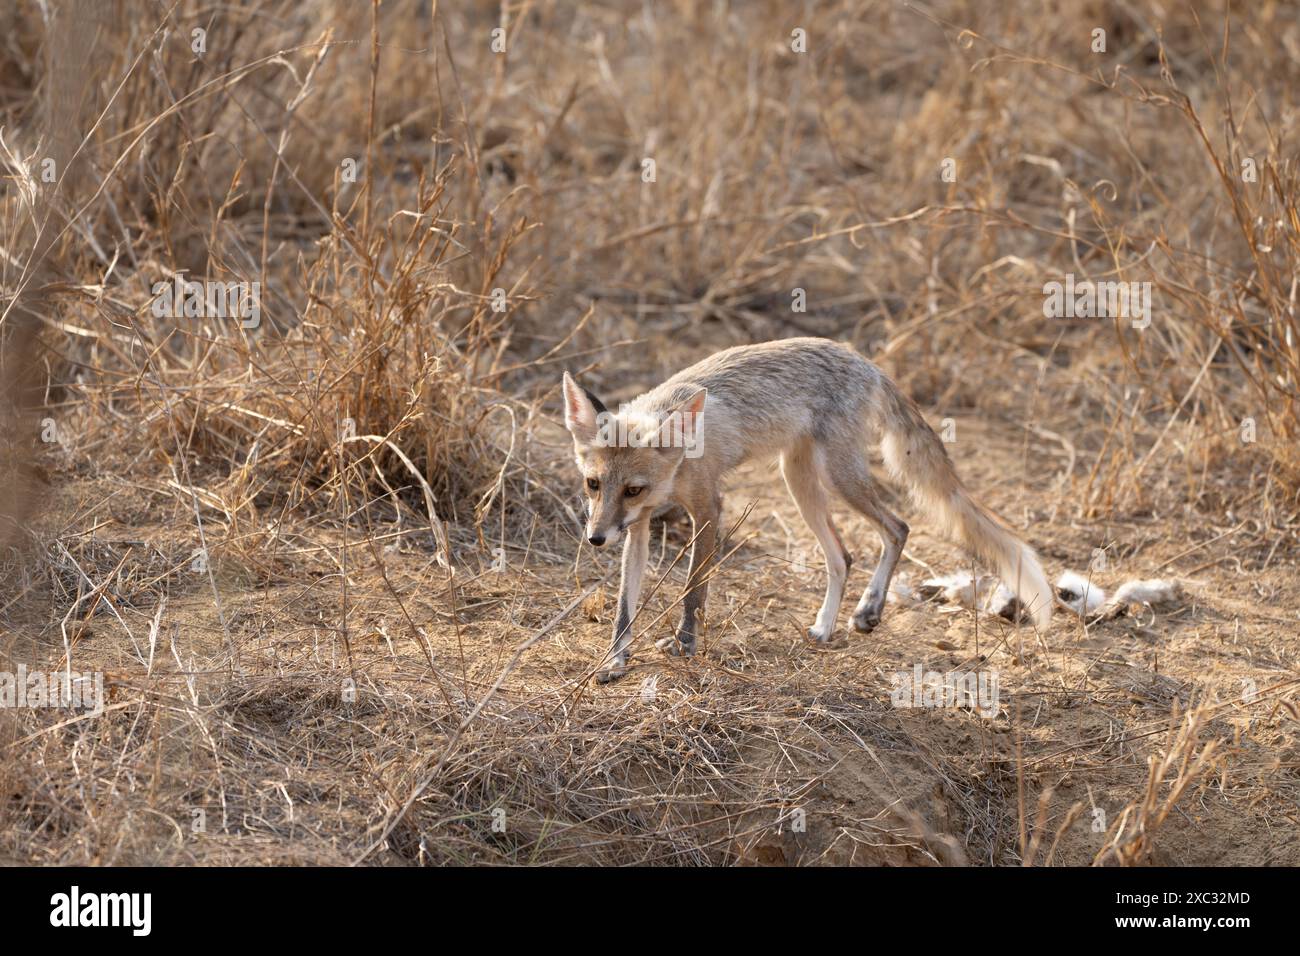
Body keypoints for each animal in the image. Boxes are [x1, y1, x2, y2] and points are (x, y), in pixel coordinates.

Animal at [562, 337, 1053, 683]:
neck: (678, 461)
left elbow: (693, 591)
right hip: (798, 479)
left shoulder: (707, 509)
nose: (596, 539)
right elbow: (625, 606)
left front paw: (686, 645)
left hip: (839, 477)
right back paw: (825, 627)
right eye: (593, 484)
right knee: (844, 556)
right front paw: (615, 660)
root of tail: (864, 359)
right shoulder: (638, 526)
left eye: (633, 488)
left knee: (898, 527)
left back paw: (868, 610)